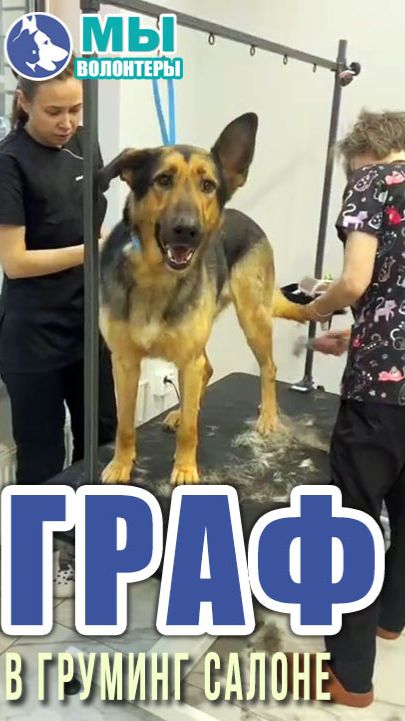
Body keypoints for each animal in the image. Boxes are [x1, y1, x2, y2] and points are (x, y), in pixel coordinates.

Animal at [98, 113, 307, 485]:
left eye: (208, 185)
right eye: (163, 180)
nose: (188, 230)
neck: (155, 277)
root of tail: (248, 220)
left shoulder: (186, 358)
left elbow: (190, 433)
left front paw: (184, 469)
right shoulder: (123, 362)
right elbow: (124, 424)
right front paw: (121, 465)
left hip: (252, 319)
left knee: (267, 368)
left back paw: (267, 417)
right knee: (207, 369)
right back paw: (182, 412)